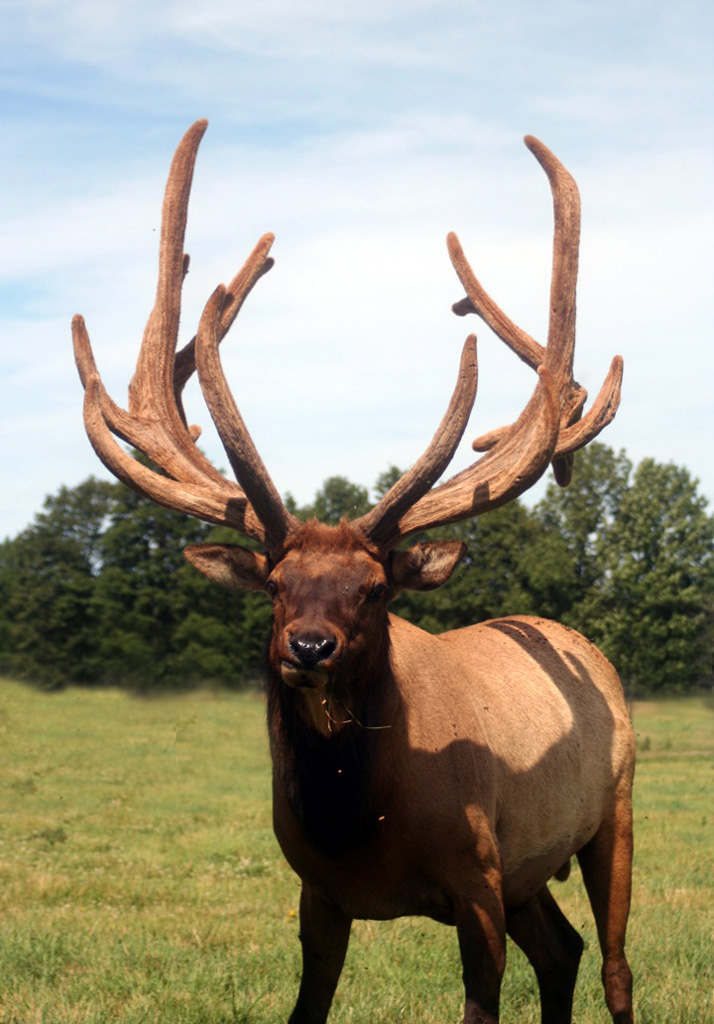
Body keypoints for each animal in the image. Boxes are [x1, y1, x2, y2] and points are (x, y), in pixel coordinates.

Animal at [73, 120, 635, 1024]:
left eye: (375, 590)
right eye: (274, 587)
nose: (308, 648)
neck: (362, 821)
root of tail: (582, 645)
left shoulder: (477, 878)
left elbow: (482, 1004)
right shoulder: (318, 892)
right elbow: (307, 1005)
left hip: (611, 809)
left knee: (613, 961)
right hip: (529, 871)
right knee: (564, 950)